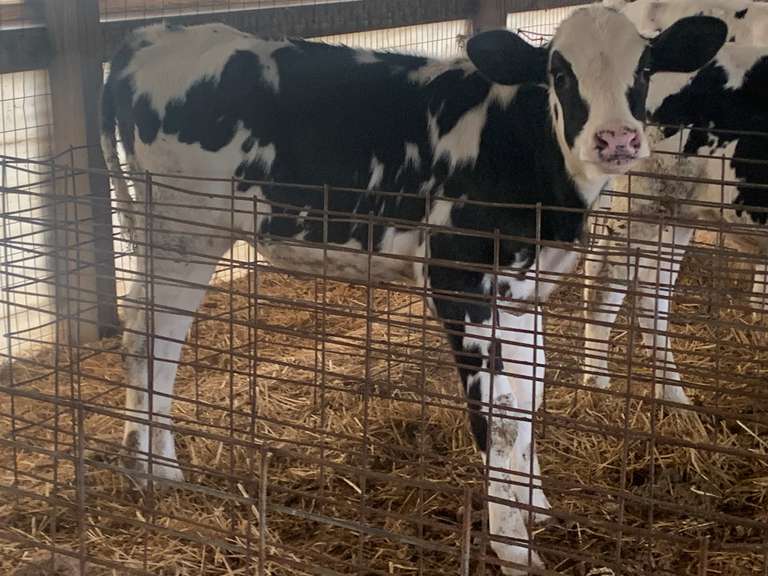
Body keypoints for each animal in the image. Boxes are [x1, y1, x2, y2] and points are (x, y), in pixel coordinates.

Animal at [101, 6, 725, 573]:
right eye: (560, 72)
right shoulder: (459, 280)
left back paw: (158, 473)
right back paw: (154, 473)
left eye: (644, 67)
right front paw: (514, 548)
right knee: (149, 343)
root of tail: (146, 38)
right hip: (181, 233)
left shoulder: (520, 287)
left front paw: (534, 505)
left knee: (155, 344)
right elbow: (498, 415)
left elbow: (529, 397)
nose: (616, 139)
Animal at [583, 13, 768, 404]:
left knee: (652, 294)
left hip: (678, 209)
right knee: (610, 280)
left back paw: (674, 399)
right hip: (643, 199)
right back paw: (598, 385)